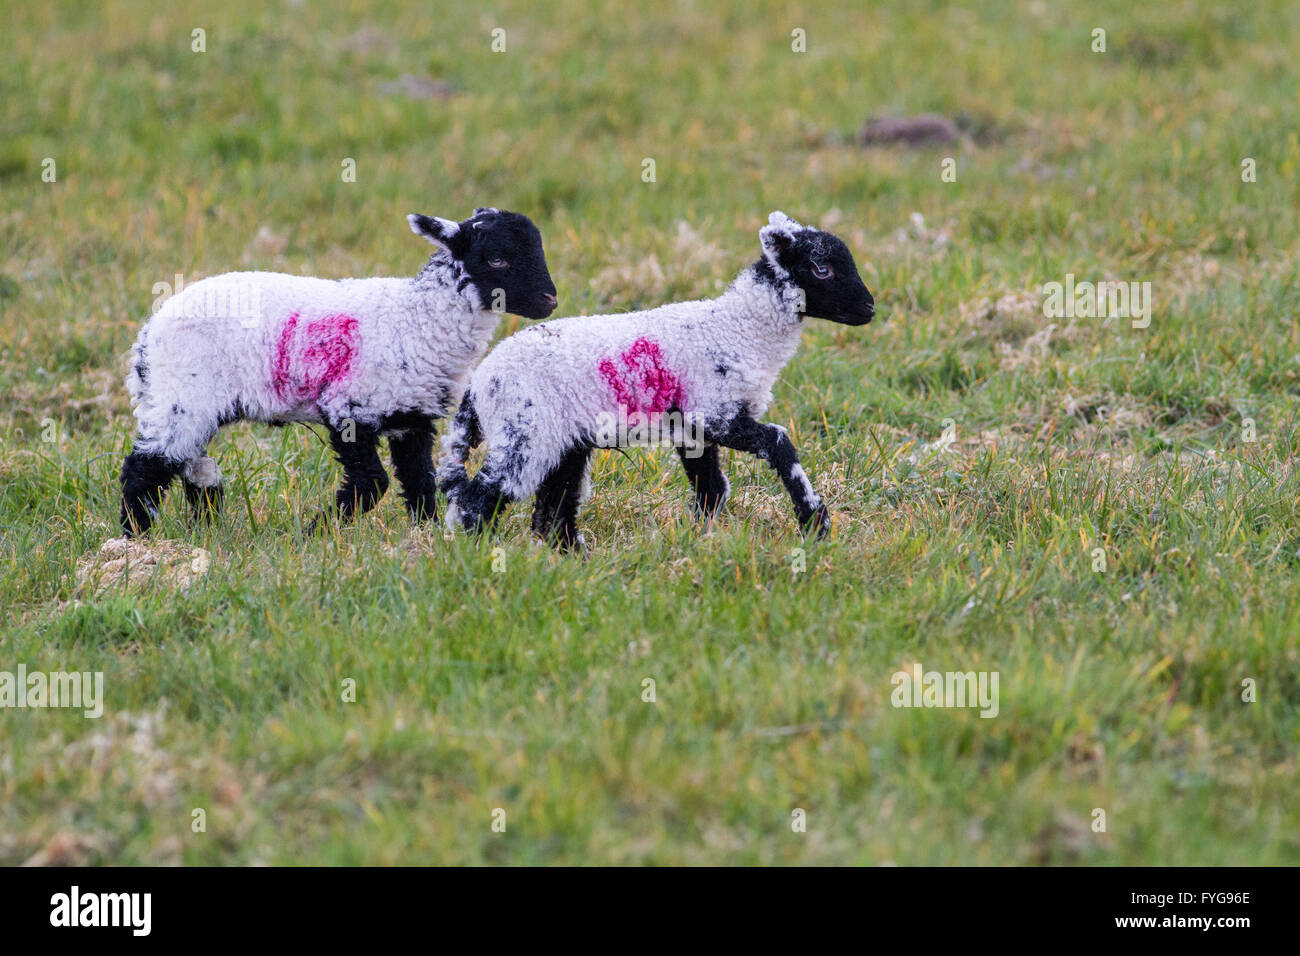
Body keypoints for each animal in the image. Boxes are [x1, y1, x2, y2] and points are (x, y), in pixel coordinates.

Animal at [119, 207, 558, 536]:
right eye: (497, 258)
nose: (550, 301)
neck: (418, 318)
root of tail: (147, 336)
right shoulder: (348, 406)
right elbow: (371, 483)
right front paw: (315, 533)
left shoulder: (411, 417)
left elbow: (420, 481)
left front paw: (426, 536)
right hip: (182, 394)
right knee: (145, 466)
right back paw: (136, 537)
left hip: (190, 402)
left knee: (191, 465)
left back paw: (205, 528)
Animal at [438, 211, 875, 551]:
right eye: (822, 269)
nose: (870, 308)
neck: (738, 328)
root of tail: (477, 385)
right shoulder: (714, 413)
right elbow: (779, 443)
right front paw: (816, 523)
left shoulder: (693, 428)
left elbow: (712, 488)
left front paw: (701, 540)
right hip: (523, 432)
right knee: (479, 499)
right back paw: (483, 555)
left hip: (562, 441)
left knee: (551, 511)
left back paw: (572, 560)